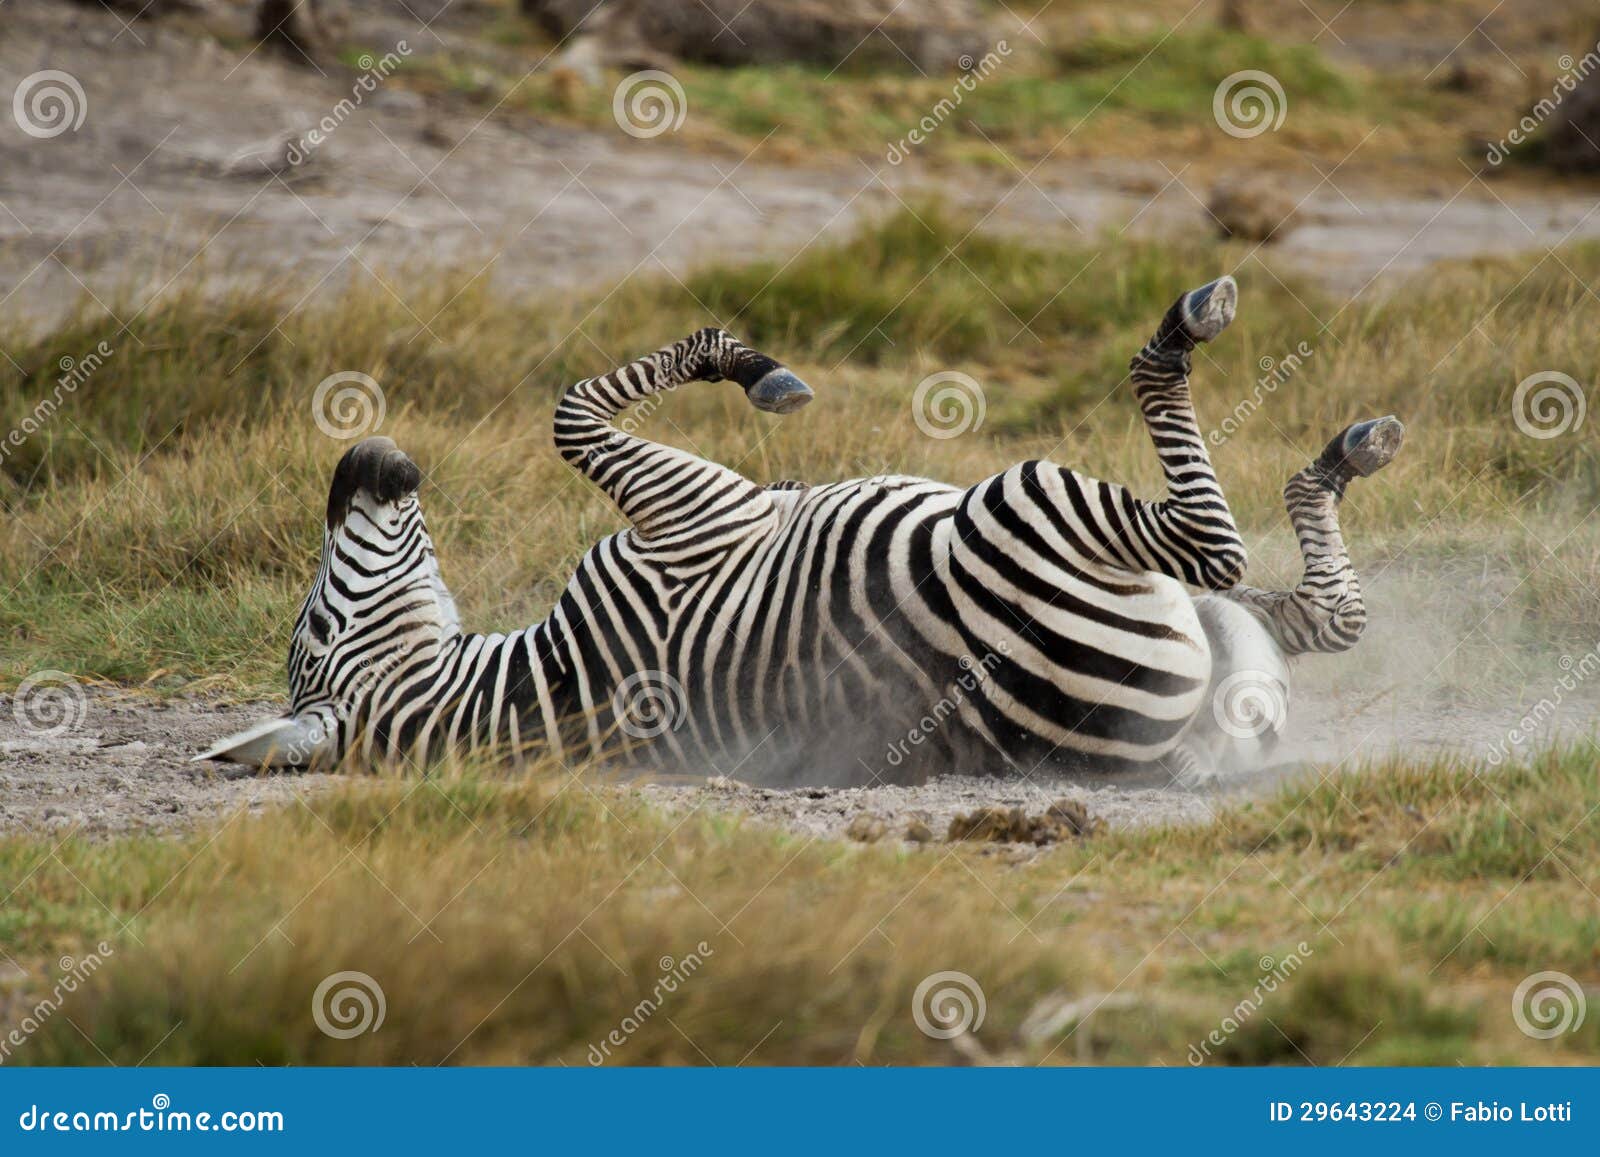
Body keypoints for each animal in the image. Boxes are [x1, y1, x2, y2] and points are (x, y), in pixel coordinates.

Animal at [197, 276, 1404, 784]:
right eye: (317, 622)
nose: (359, 458)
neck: (530, 694)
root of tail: (1161, 754)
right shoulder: (688, 515)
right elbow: (571, 413)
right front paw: (758, 371)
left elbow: (578, 408)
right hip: (1026, 506)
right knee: (1218, 543)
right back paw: (1199, 339)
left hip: (1194, 617)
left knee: (1314, 614)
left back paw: (1338, 457)